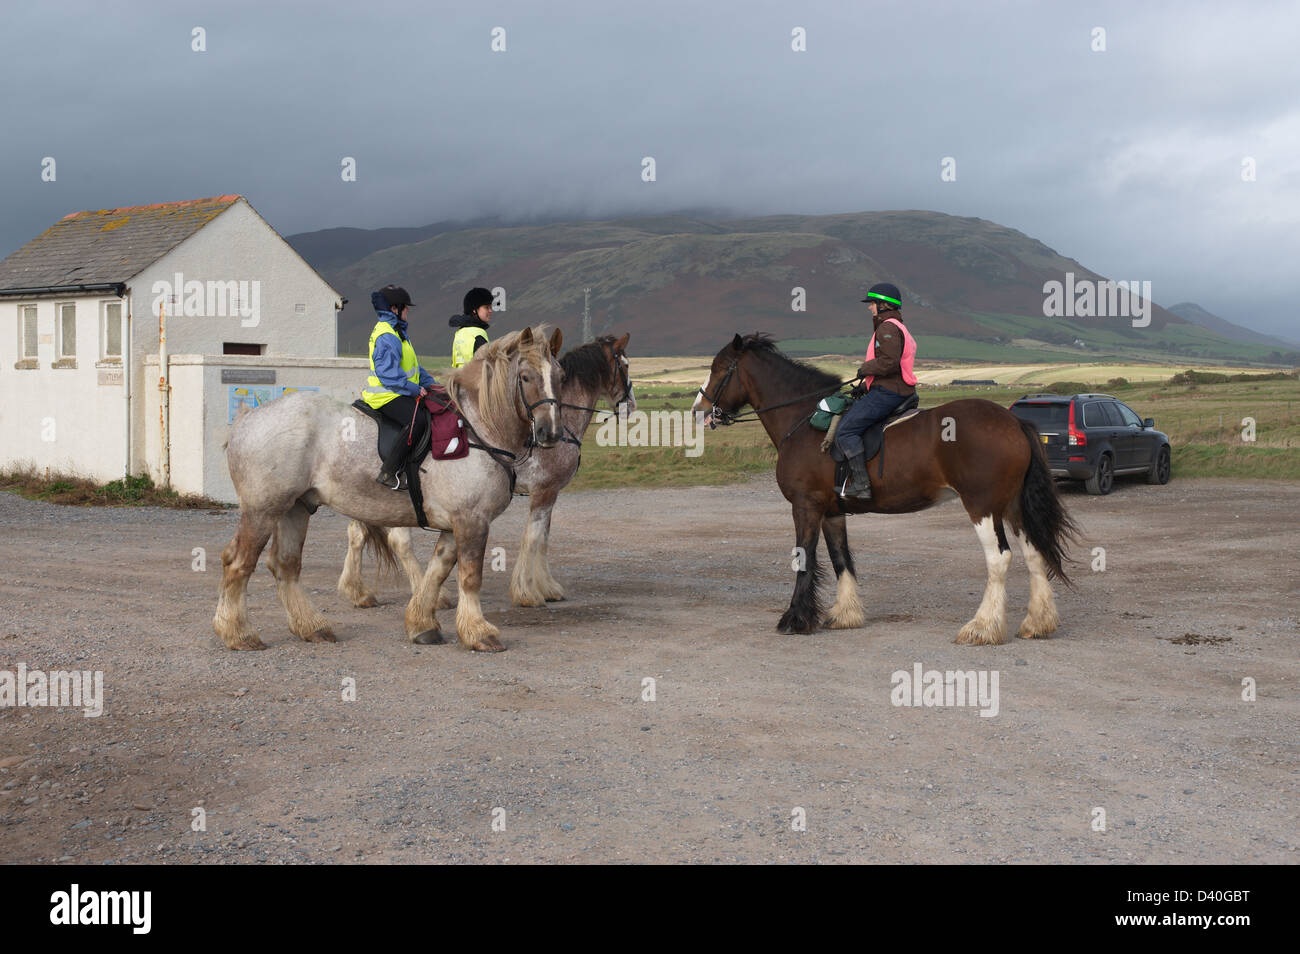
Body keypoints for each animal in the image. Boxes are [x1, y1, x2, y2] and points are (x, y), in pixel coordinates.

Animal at [214, 326, 564, 653]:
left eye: (559, 376)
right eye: (525, 376)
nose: (550, 433)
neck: (477, 429)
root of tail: (248, 418)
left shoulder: (455, 525)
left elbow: (437, 570)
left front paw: (422, 625)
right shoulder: (471, 520)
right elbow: (469, 576)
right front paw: (478, 632)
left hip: (295, 508)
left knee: (285, 565)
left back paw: (311, 626)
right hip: (263, 511)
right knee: (238, 562)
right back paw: (238, 632)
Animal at [336, 333, 636, 610]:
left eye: (560, 377)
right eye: (625, 365)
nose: (630, 405)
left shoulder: (548, 494)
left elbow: (543, 538)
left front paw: (545, 587)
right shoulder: (545, 491)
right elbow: (534, 538)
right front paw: (529, 592)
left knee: (357, 531)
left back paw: (358, 591)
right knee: (397, 539)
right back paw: (432, 595)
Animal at [692, 333, 1079, 644]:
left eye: (719, 367)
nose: (699, 409)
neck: (803, 422)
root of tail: (1013, 420)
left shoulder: (805, 505)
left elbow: (804, 557)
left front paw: (795, 620)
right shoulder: (832, 511)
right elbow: (840, 558)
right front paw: (844, 614)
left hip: (982, 506)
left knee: (999, 559)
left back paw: (981, 628)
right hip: (1012, 506)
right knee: (1033, 554)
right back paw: (1037, 623)